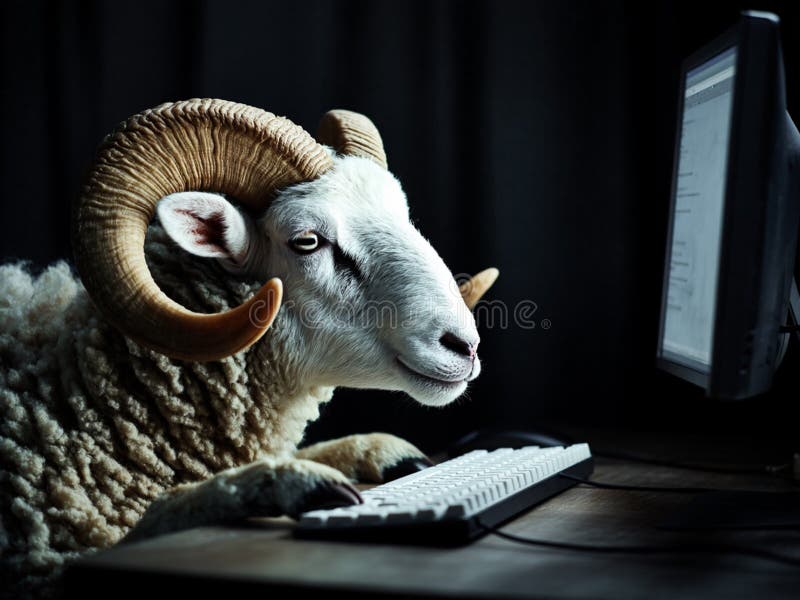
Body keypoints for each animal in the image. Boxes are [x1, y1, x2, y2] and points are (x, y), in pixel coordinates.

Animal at [0, 99, 498, 599]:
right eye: (307, 241)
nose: (465, 346)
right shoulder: (49, 563)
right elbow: (162, 515)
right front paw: (285, 483)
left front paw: (378, 449)